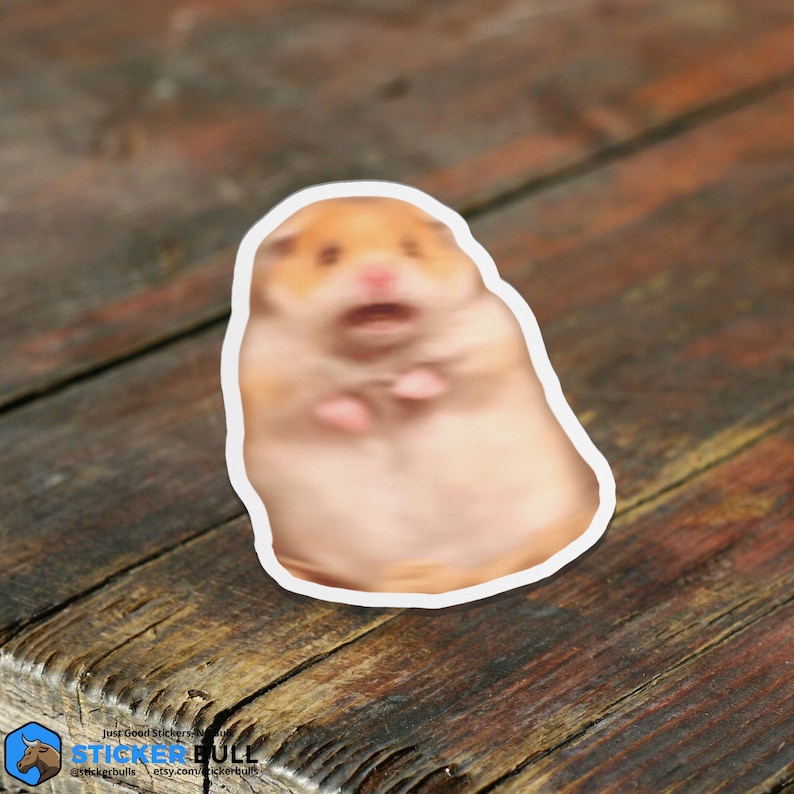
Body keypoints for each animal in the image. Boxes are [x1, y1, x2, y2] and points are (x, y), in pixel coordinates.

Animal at [237, 196, 601, 595]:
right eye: (328, 256)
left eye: (411, 250)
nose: (378, 275)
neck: (378, 352)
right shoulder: (267, 376)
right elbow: (323, 401)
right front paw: (363, 414)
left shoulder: (490, 340)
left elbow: (443, 372)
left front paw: (402, 390)